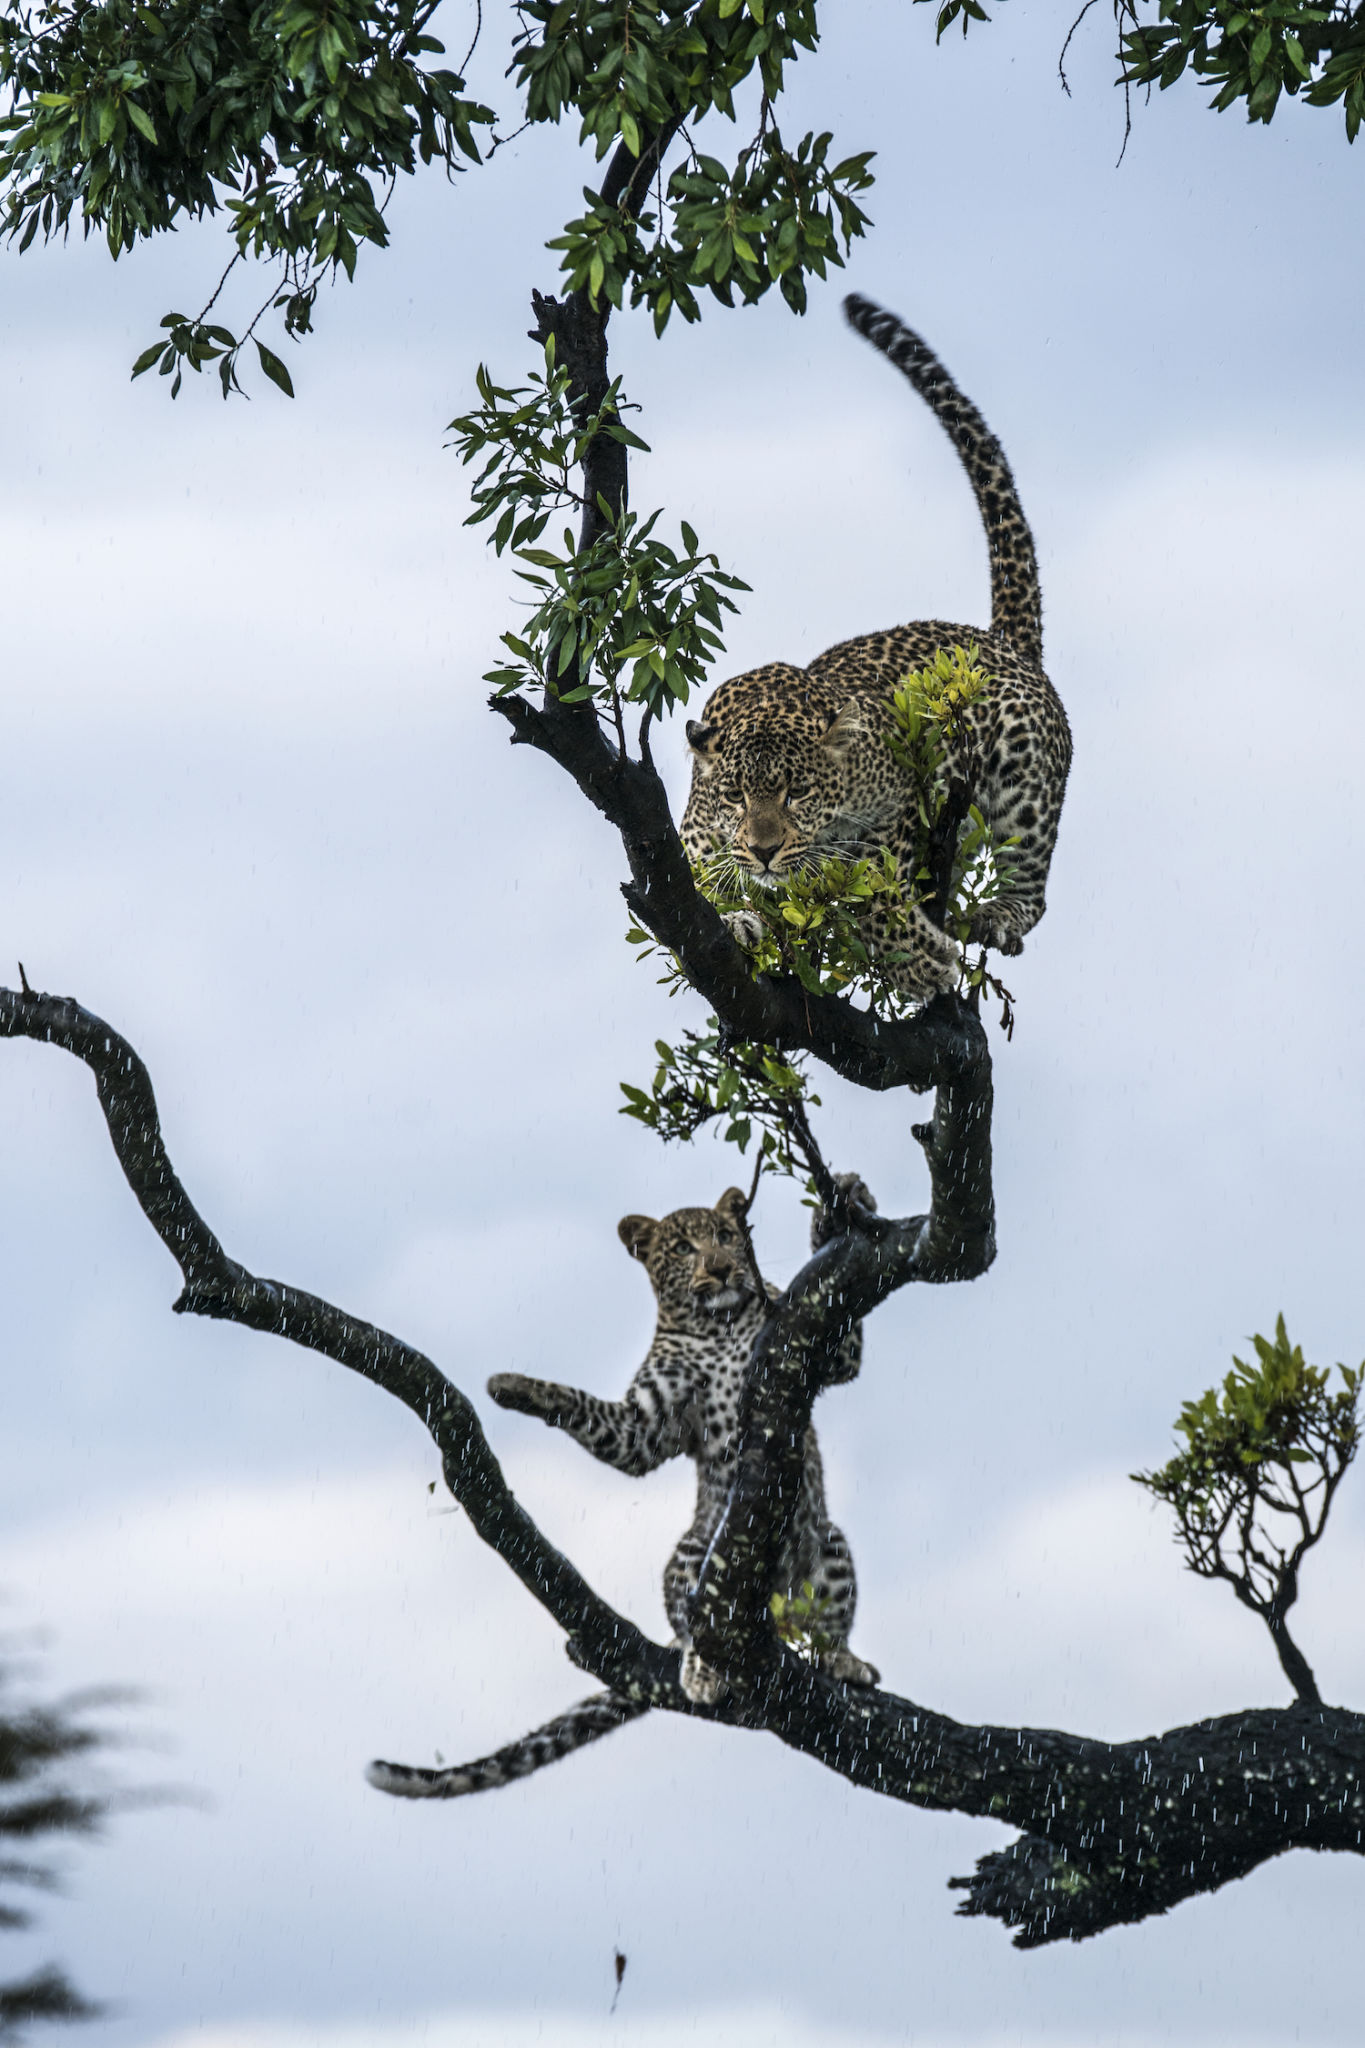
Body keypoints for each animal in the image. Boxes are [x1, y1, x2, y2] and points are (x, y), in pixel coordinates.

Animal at [367, 1185, 878, 1801]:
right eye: (683, 1248)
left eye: (726, 1236)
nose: (721, 1267)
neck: (717, 1327)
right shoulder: (646, 1427)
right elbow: (589, 1410)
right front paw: (516, 1387)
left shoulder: (814, 1349)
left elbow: (846, 1341)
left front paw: (840, 1206)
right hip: (695, 1553)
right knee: (694, 1628)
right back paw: (700, 1669)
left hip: (829, 1543)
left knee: (826, 1626)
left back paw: (844, 1662)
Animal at [681, 292, 1073, 1005]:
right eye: (735, 798)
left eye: (796, 793)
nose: (764, 852)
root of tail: (1005, 642)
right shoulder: (696, 822)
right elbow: (701, 868)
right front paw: (736, 916)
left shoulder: (899, 803)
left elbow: (871, 888)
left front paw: (919, 962)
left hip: (1023, 763)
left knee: (1030, 861)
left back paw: (999, 914)